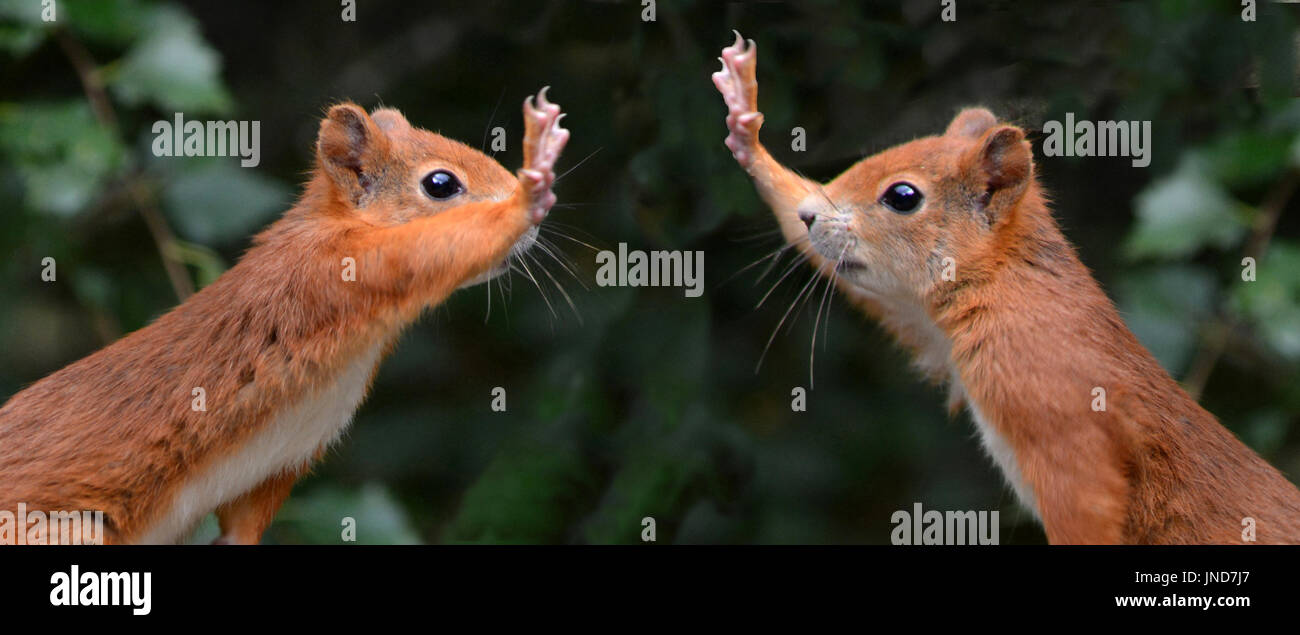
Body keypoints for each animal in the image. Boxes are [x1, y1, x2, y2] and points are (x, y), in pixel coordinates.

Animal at [0, 87, 569, 546]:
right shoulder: (331, 271)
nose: (534, 230)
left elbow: (241, 528)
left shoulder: (275, 465)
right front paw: (529, 190)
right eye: (440, 184)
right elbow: (426, 251)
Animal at [717, 32, 1300, 543]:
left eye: (903, 196)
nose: (810, 215)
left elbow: (1086, 502)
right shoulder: (929, 327)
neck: (1005, 283)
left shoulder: (1058, 409)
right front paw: (744, 122)